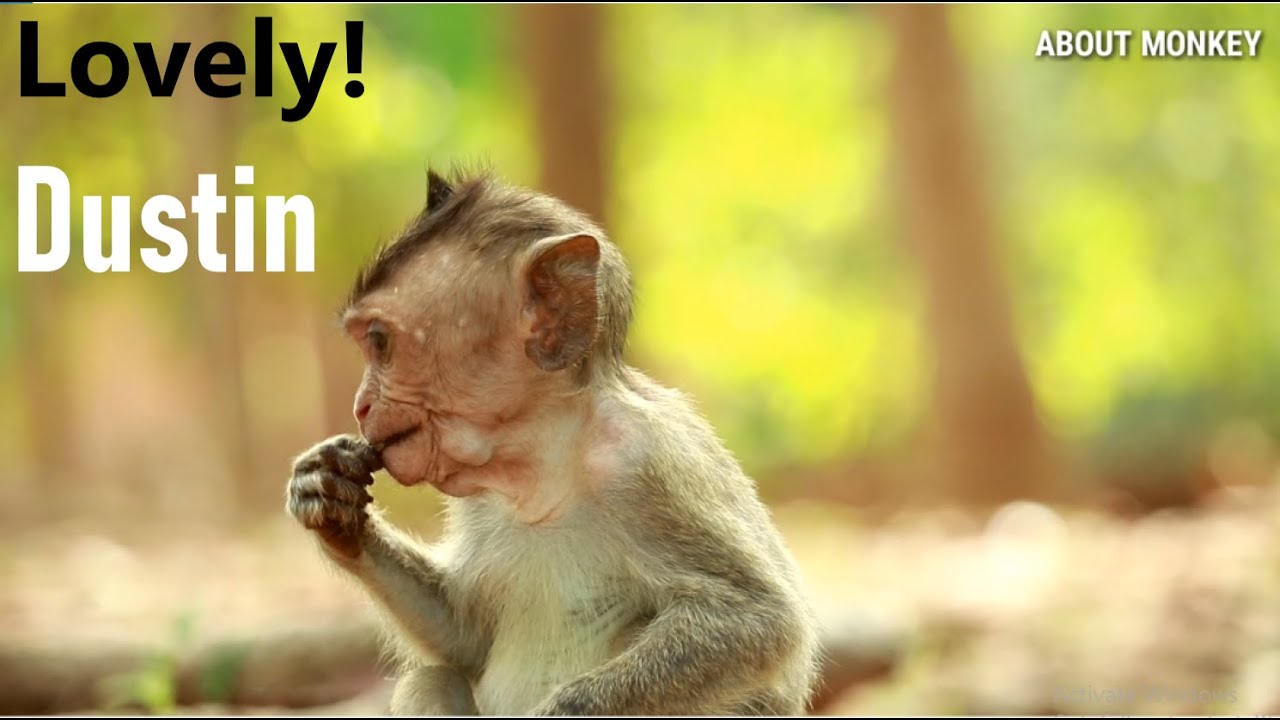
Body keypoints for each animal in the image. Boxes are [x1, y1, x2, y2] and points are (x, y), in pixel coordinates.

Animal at [285, 168, 822, 716]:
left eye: (379, 341)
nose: (361, 405)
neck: (539, 462)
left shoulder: (646, 464)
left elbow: (758, 620)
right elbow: (465, 637)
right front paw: (330, 498)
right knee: (429, 680)